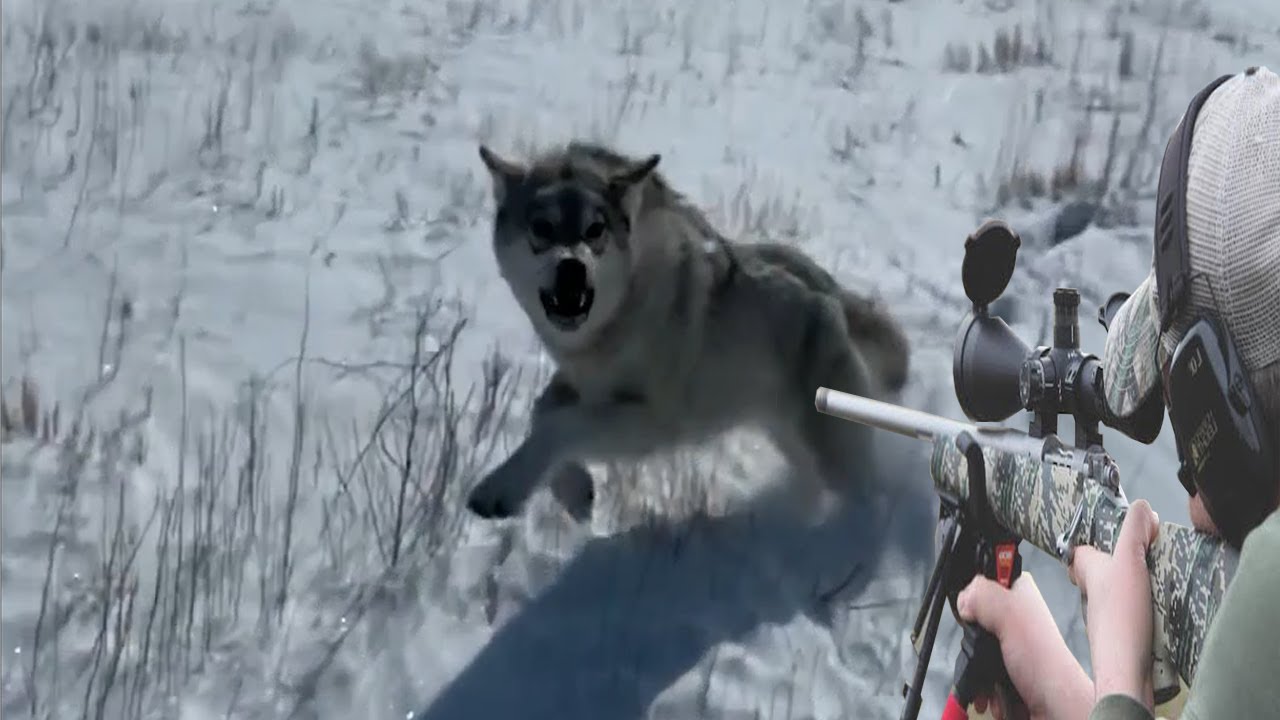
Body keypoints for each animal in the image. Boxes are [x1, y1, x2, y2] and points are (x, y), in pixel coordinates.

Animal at [465, 141, 912, 521]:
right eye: (541, 228)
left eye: (595, 230)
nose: (572, 268)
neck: (620, 315)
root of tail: (828, 289)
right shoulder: (583, 386)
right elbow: (542, 411)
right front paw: (574, 493)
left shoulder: (651, 420)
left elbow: (561, 425)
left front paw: (497, 490)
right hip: (781, 429)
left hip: (832, 449)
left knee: (868, 495)